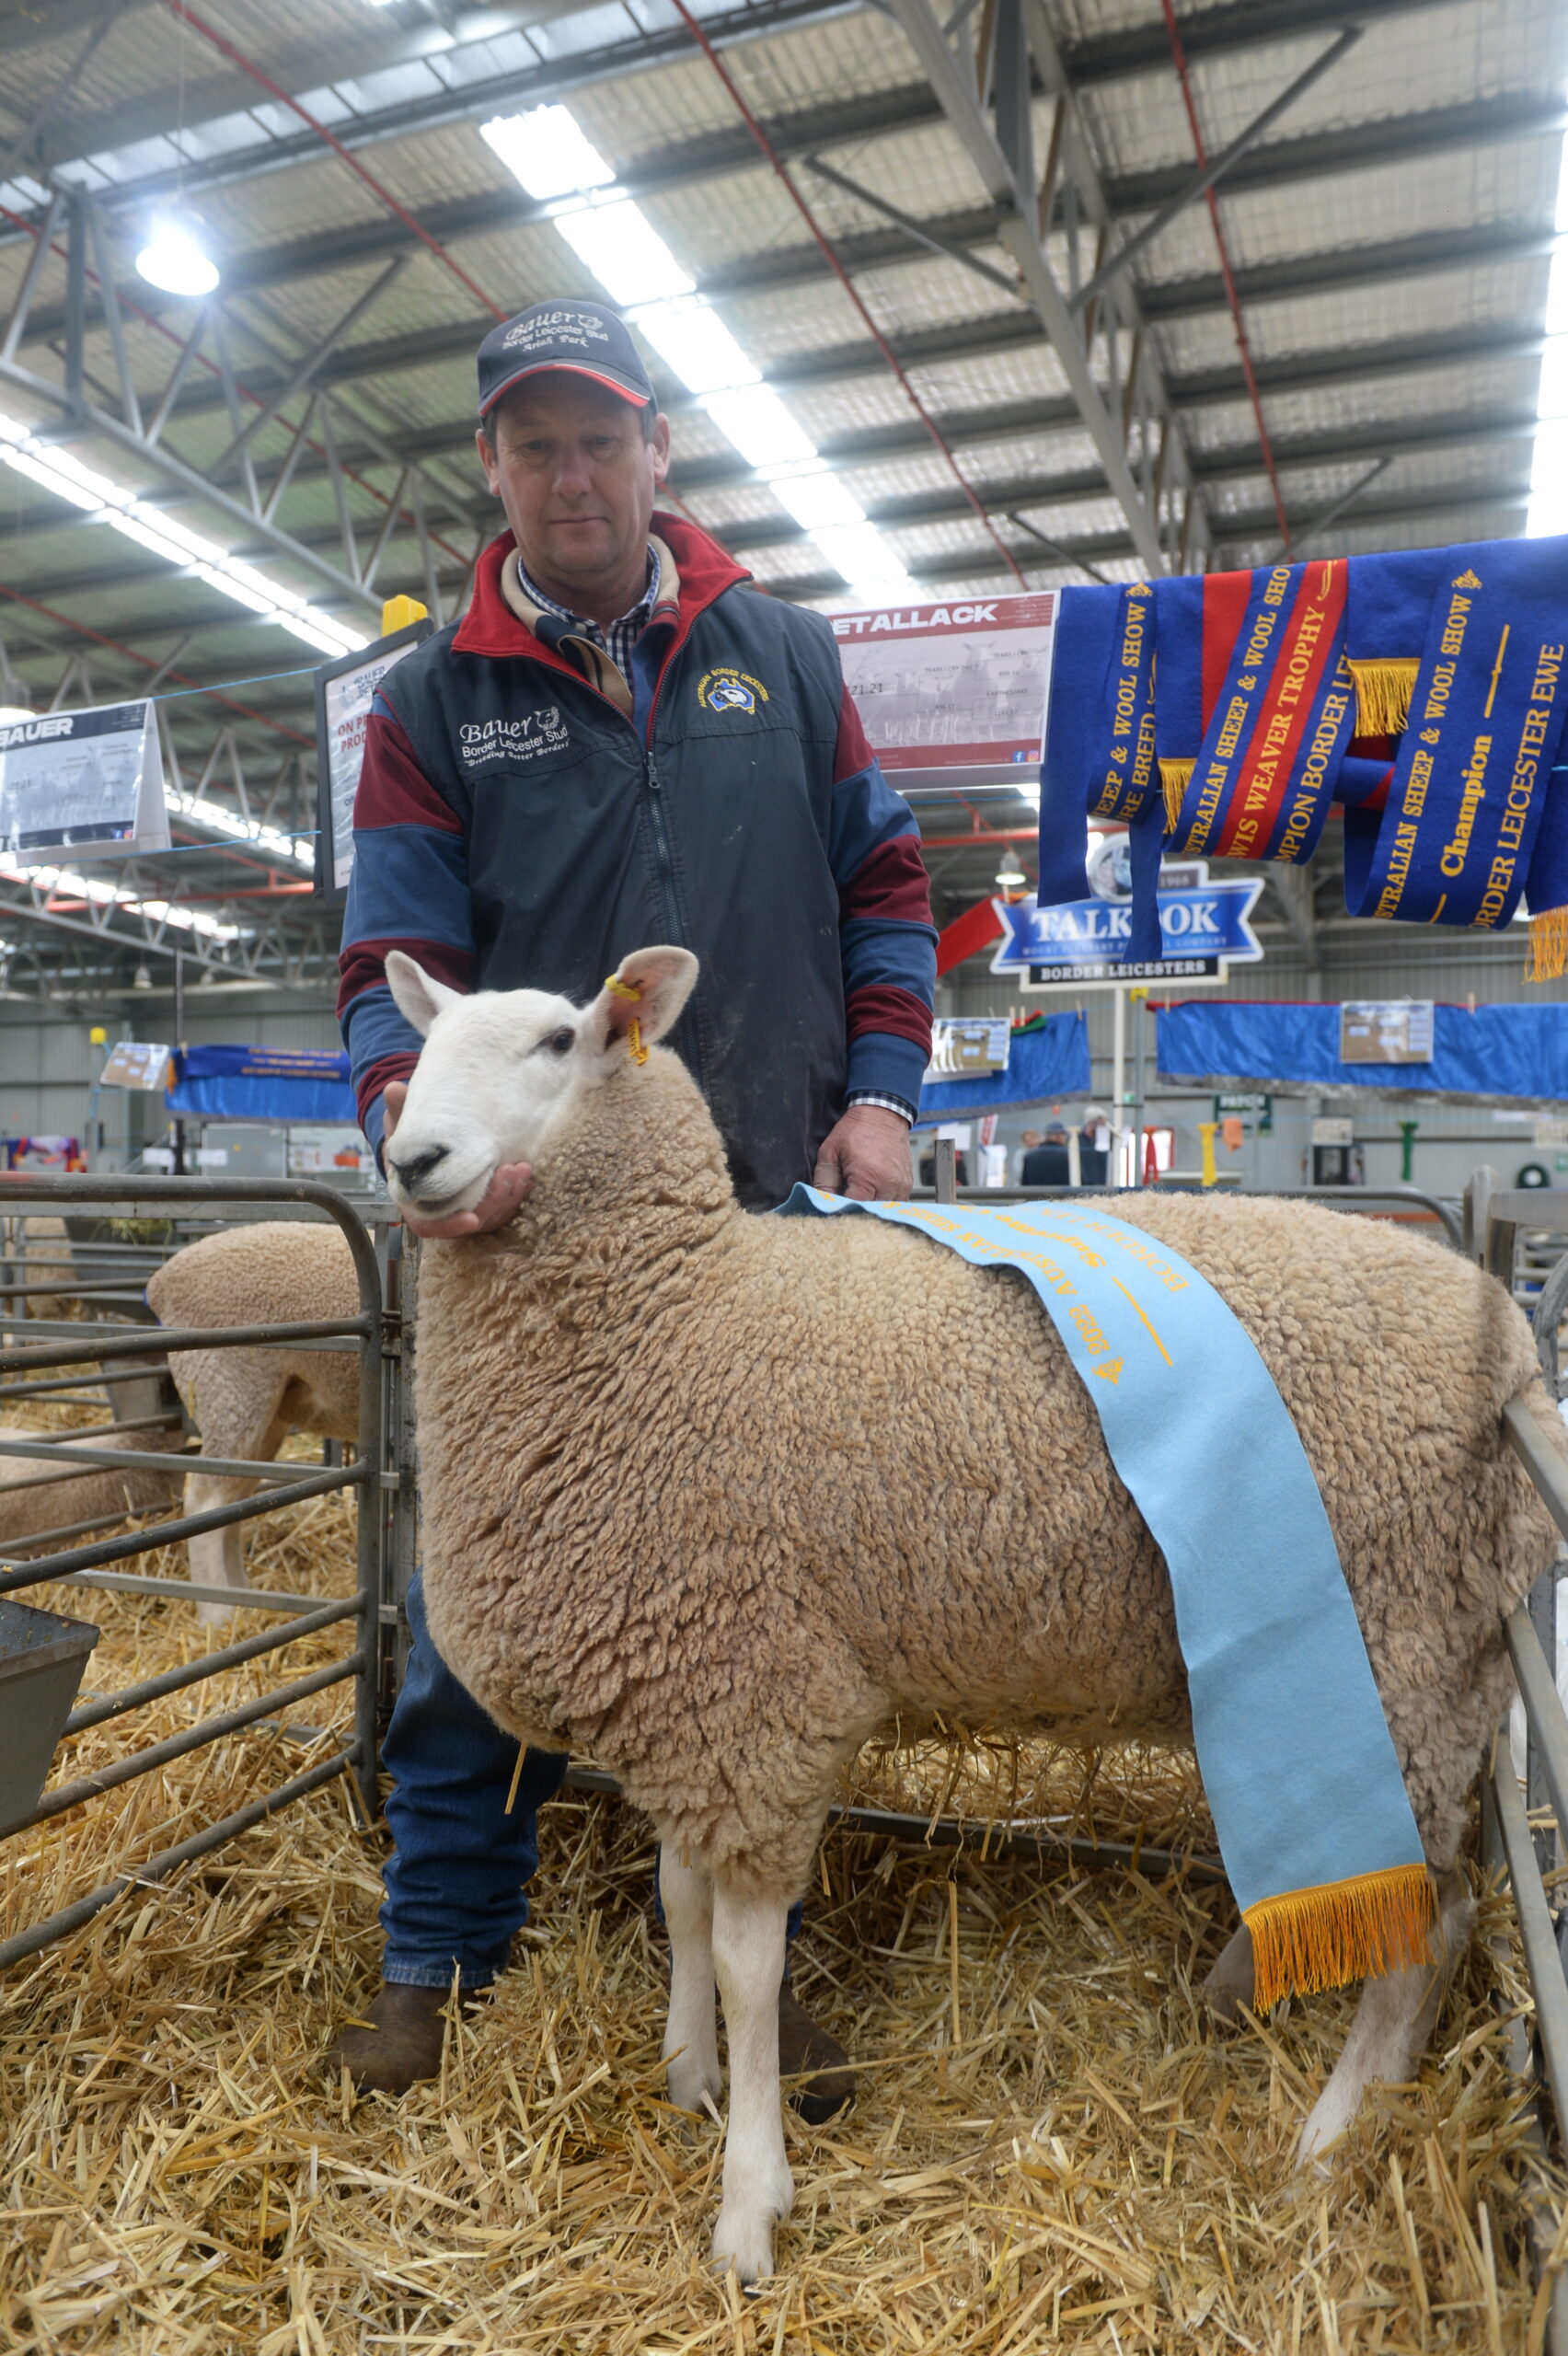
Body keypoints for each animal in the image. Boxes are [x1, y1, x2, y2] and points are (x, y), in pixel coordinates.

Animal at [145, 1223, 359, 1622]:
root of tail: (164, 1280)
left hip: (265, 1411)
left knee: (233, 1501)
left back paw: (241, 1601)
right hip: (229, 1387)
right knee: (205, 1500)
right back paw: (216, 1614)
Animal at [380, 942, 1561, 2285]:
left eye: (559, 1041)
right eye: (424, 1047)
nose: (413, 1160)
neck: (682, 1315)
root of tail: (1510, 1344)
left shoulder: (760, 1692)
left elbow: (746, 1961)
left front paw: (749, 2201)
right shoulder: (694, 1687)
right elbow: (680, 1903)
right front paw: (688, 2075)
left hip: (1399, 1653)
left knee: (1435, 1917)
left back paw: (1332, 2135)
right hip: (1413, 1668)